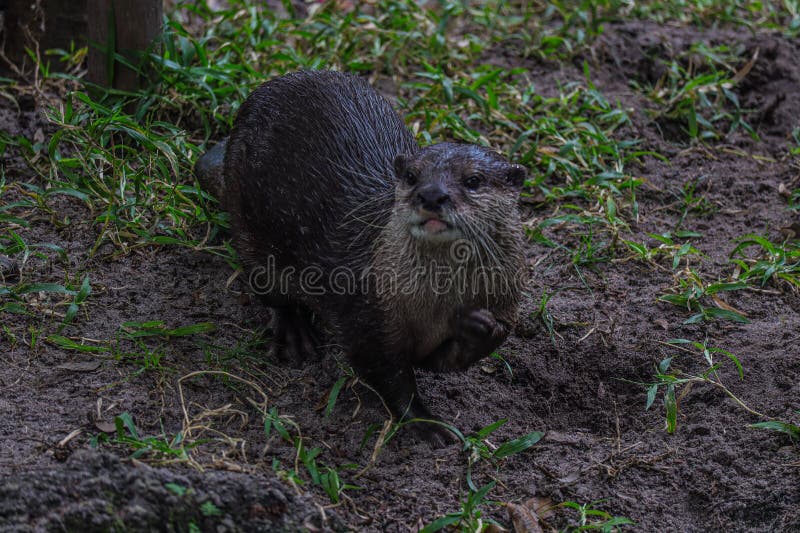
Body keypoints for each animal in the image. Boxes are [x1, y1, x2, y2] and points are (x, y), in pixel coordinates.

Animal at [195, 70, 526, 445]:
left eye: (473, 180)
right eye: (412, 177)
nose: (431, 195)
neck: (434, 300)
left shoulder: (503, 300)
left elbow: (467, 350)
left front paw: (478, 325)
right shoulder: (366, 308)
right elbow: (385, 372)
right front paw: (427, 423)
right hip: (248, 223)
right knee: (270, 288)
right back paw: (295, 335)